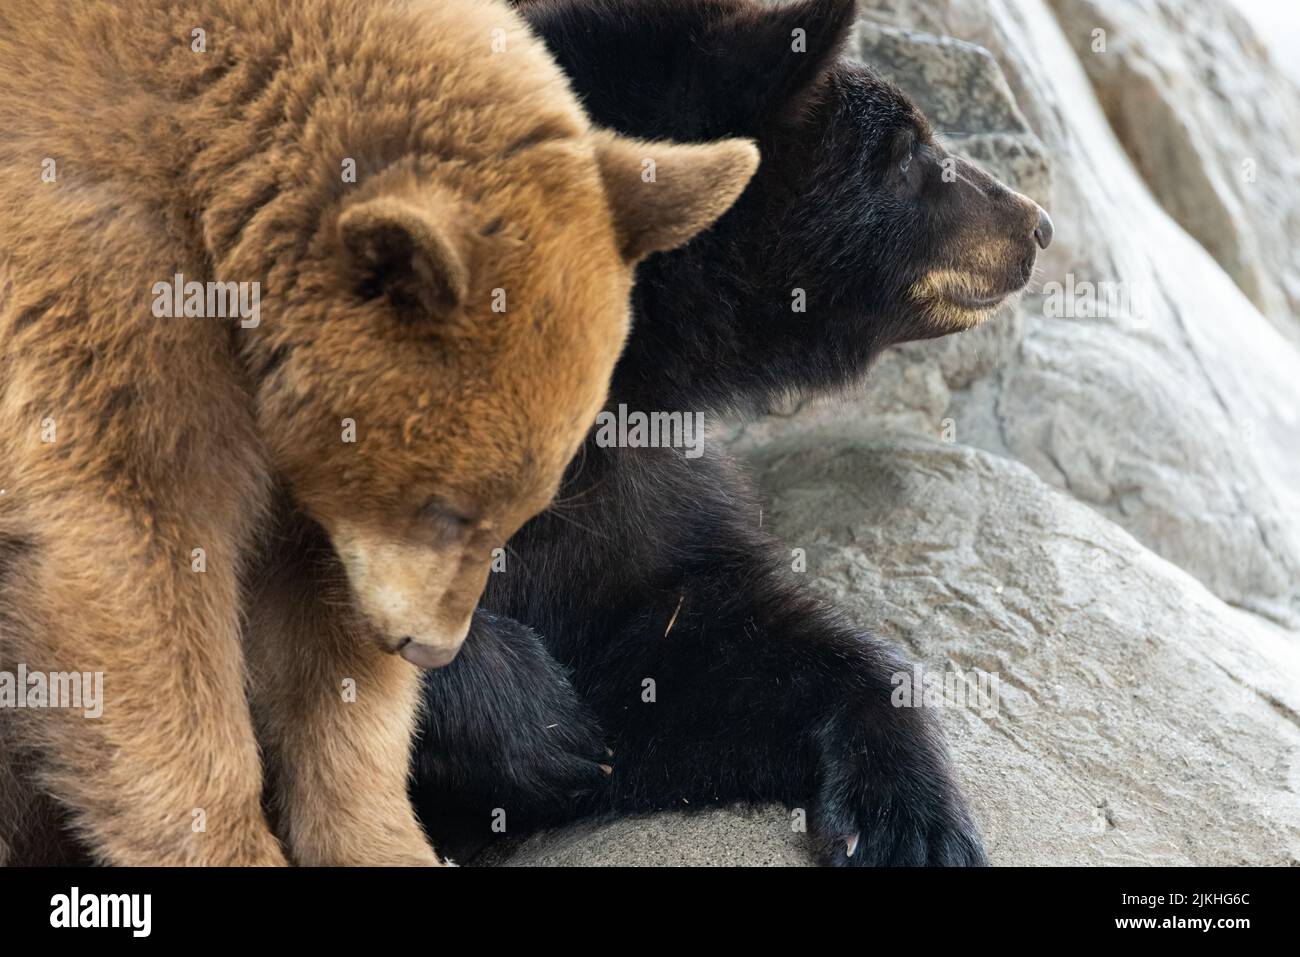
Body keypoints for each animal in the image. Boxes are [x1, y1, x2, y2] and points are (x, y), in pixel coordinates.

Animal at [0, 0, 757, 865]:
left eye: (524, 512)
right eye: (448, 506)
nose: (431, 646)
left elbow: (327, 634)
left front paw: (382, 834)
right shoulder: (99, 283)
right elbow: (136, 571)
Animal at [414, 0, 1053, 865]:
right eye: (905, 152)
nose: (1035, 224)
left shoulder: (636, 491)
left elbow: (701, 641)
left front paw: (913, 820)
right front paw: (535, 717)